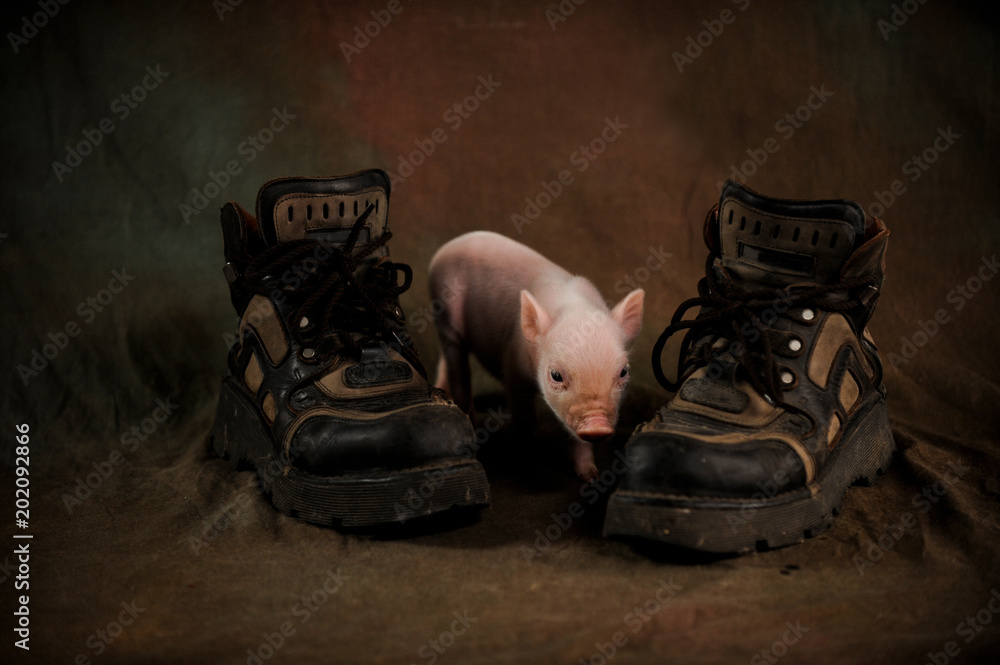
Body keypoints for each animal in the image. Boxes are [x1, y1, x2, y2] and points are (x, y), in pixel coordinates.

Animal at [428, 231, 644, 482]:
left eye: (624, 372)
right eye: (556, 375)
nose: (597, 425)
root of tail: (451, 244)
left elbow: (578, 439)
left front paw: (590, 476)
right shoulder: (512, 365)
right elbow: (527, 419)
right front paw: (518, 456)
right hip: (446, 320)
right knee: (458, 368)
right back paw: (472, 425)